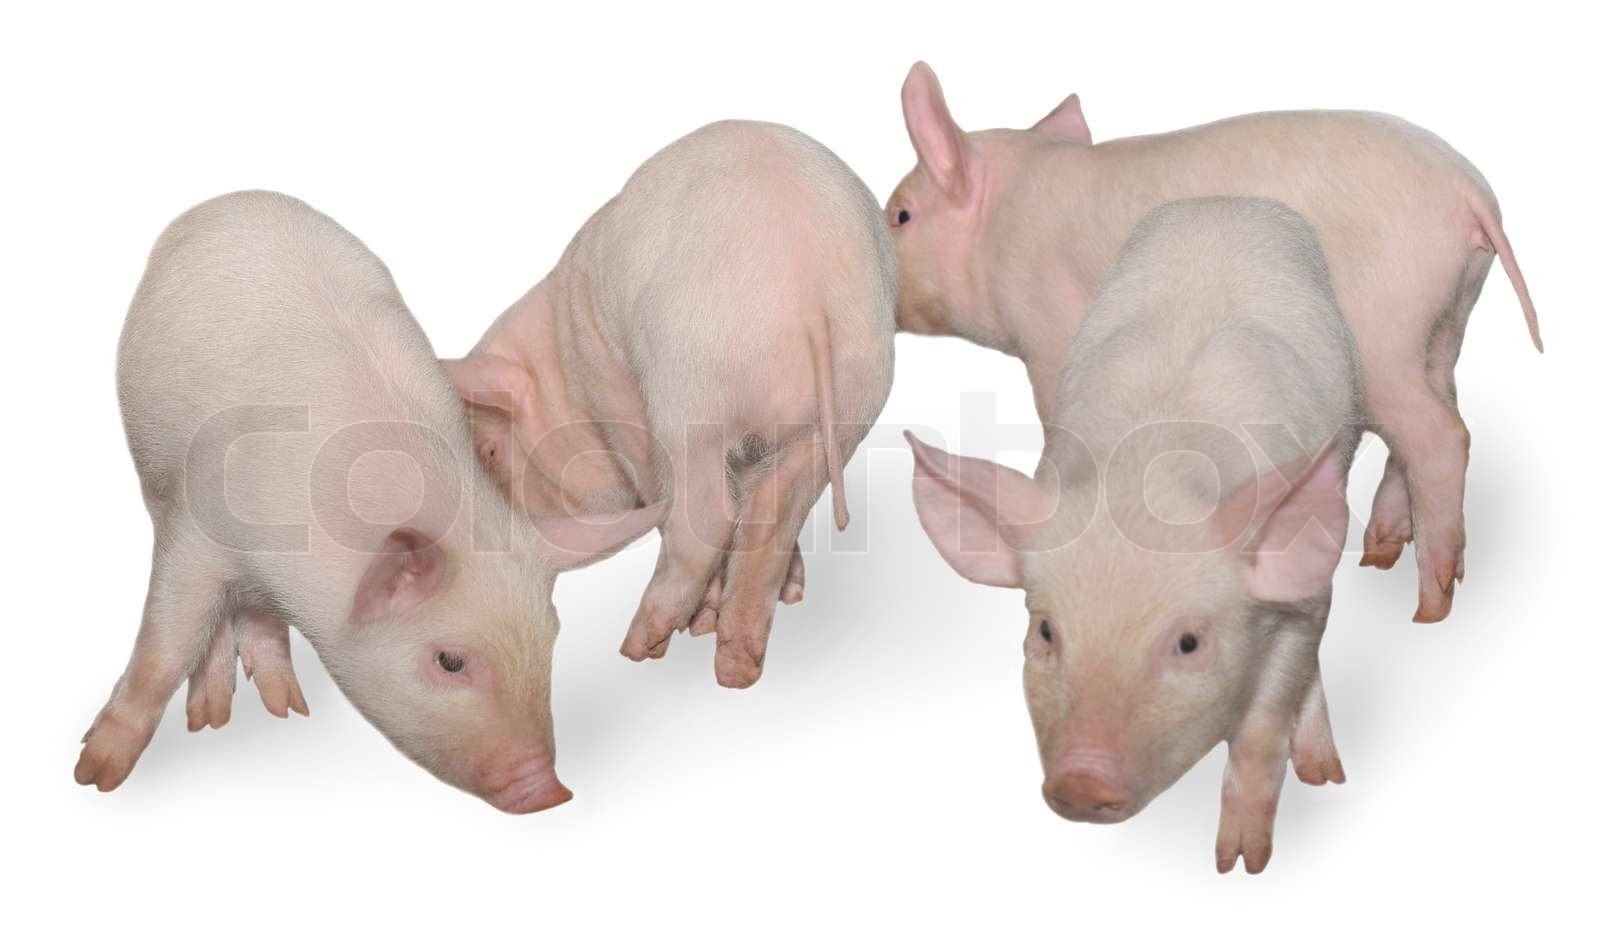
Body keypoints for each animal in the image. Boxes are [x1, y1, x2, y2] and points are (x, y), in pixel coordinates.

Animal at [77, 191, 660, 811]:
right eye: (449, 661)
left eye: (550, 639)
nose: (552, 791)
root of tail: (234, 199)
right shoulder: (196, 528)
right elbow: (164, 648)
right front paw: (94, 775)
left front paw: (284, 712)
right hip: (147, 462)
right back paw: (212, 719)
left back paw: (285, 708)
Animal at [443, 120, 895, 688]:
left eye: (489, 451)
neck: (561, 362)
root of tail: (811, 293)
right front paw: (787, 592)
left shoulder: (608, 379)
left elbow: (653, 481)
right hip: (855, 396)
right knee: (773, 509)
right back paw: (736, 667)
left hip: (688, 388)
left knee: (708, 515)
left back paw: (642, 645)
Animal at [886, 61, 1539, 626]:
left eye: (900, 217)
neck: (1000, 224)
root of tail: (1469, 195)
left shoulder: (1049, 333)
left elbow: (1056, 423)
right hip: (1446, 316)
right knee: (1441, 402)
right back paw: (1379, 554)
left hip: (1384, 328)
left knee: (1441, 434)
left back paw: (1429, 607)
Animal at [905, 197, 1363, 872]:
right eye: (1046, 631)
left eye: (1189, 643)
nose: (1080, 782)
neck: (1153, 476)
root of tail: (1225, 203)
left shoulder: (1307, 603)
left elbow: (1263, 726)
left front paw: (1240, 863)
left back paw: (1325, 776)